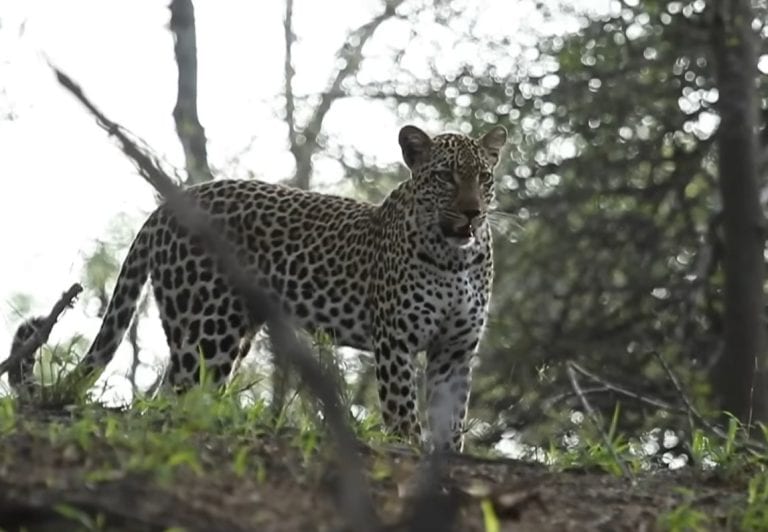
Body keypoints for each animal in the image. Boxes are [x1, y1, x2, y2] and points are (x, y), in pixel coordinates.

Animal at [52, 124, 507, 451]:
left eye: (484, 177)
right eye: (445, 176)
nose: (473, 212)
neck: (454, 258)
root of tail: (169, 205)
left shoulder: (455, 350)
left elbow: (452, 424)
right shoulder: (396, 343)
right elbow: (403, 415)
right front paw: (407, 453)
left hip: (229, 335)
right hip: (206, 333)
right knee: (175, 395)